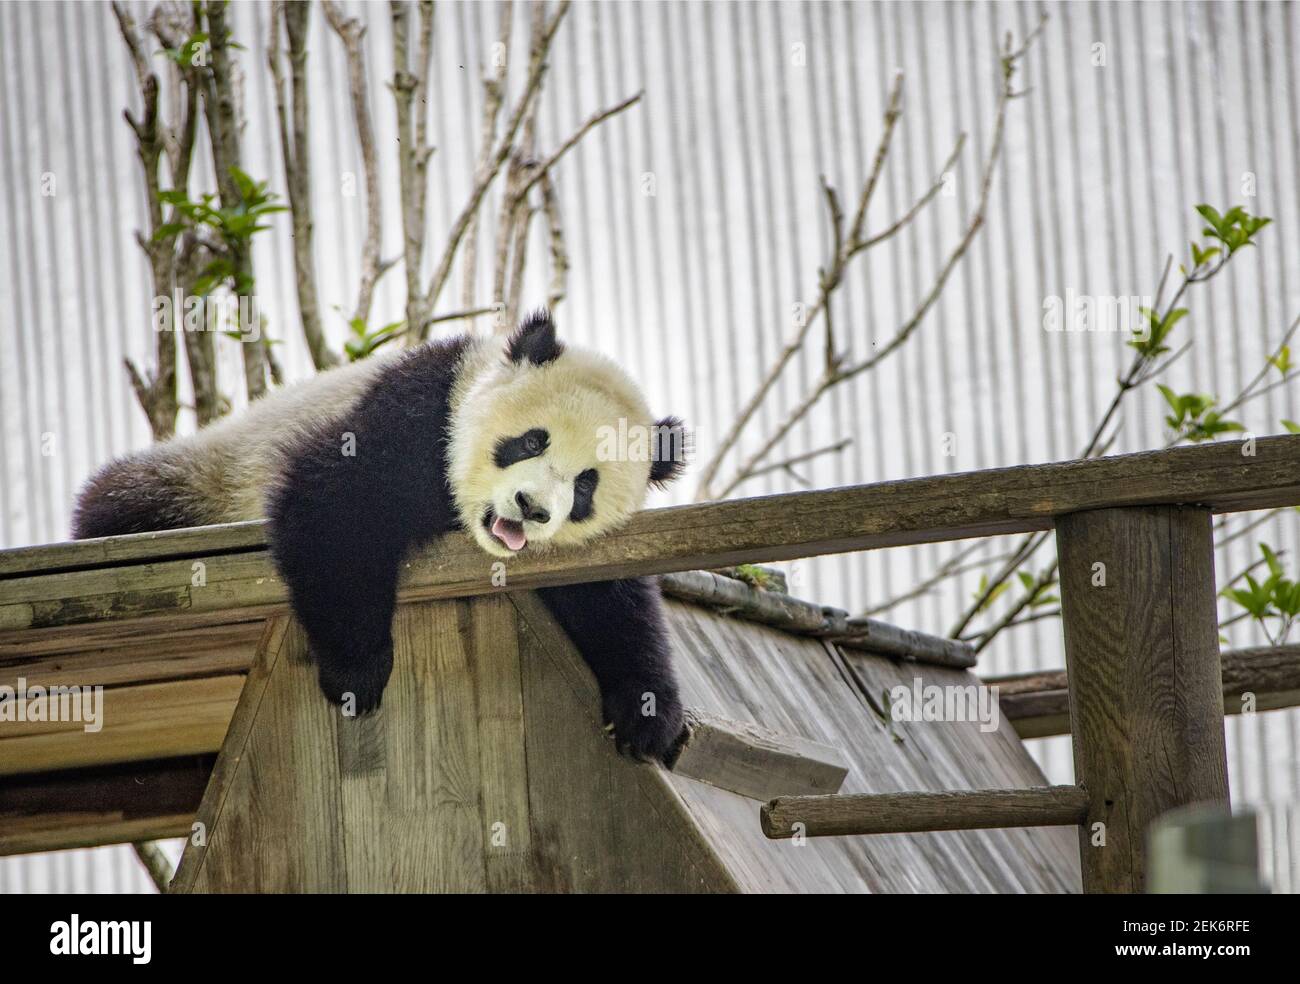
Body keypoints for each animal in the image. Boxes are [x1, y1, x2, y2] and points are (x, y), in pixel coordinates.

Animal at [72, 311, 688, 762]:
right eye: (532, 441)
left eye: (585, 485)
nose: (532, 507)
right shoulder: (420, 410)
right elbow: (336, 503)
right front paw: (357, 674)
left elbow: (611, 601)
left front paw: (649, 716)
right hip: (209, 474)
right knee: (122, 500)